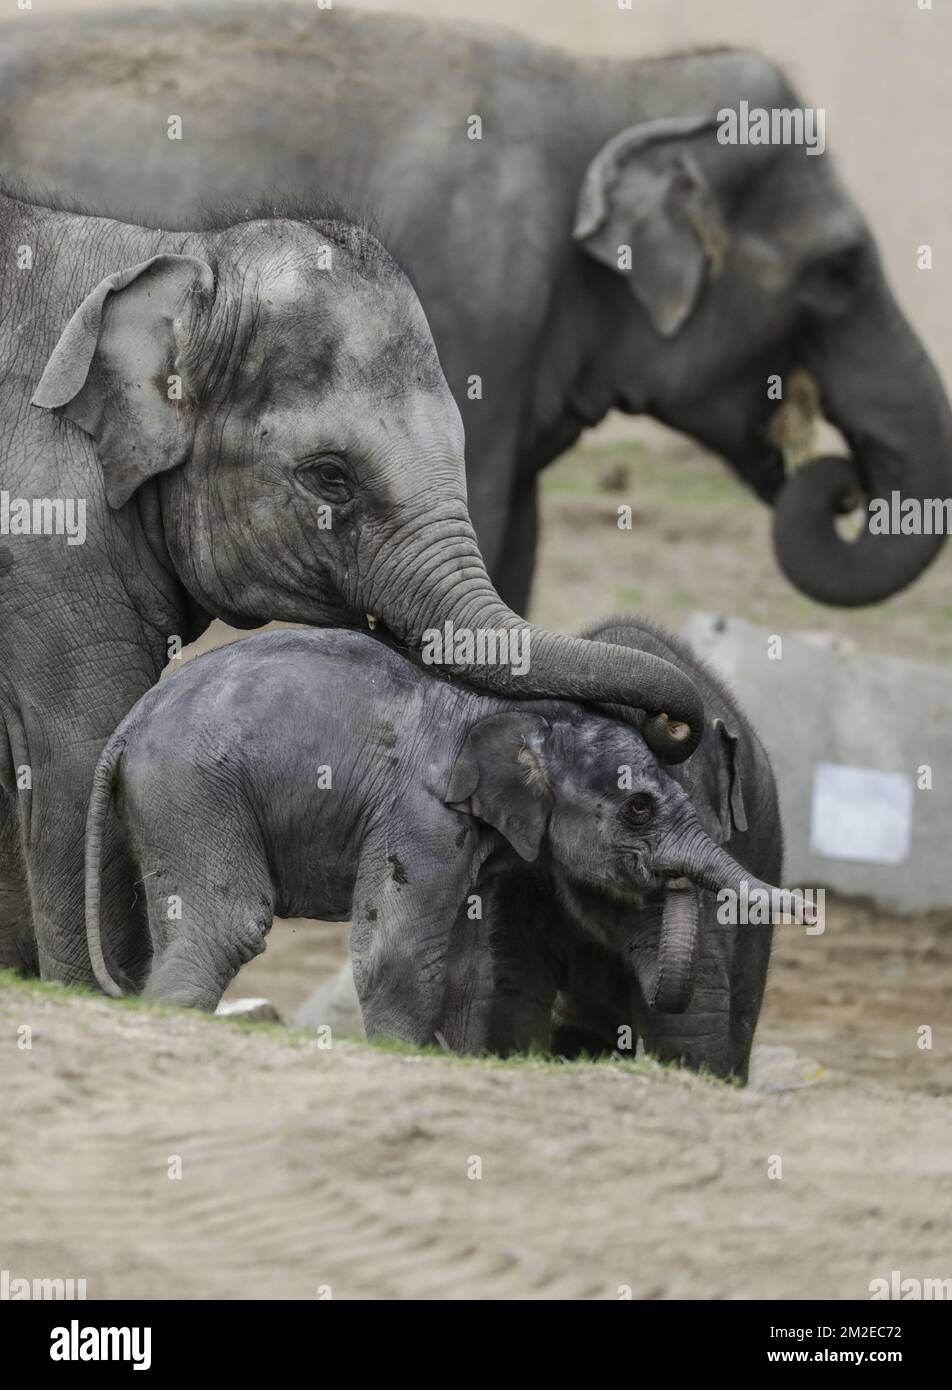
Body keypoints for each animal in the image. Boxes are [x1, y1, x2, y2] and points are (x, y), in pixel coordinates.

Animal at [0, 5, 948, 608]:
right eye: (839, 270)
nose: (842, 481)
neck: (618, 86)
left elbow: (515, 548)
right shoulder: (474, 305)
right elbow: (480, 525)